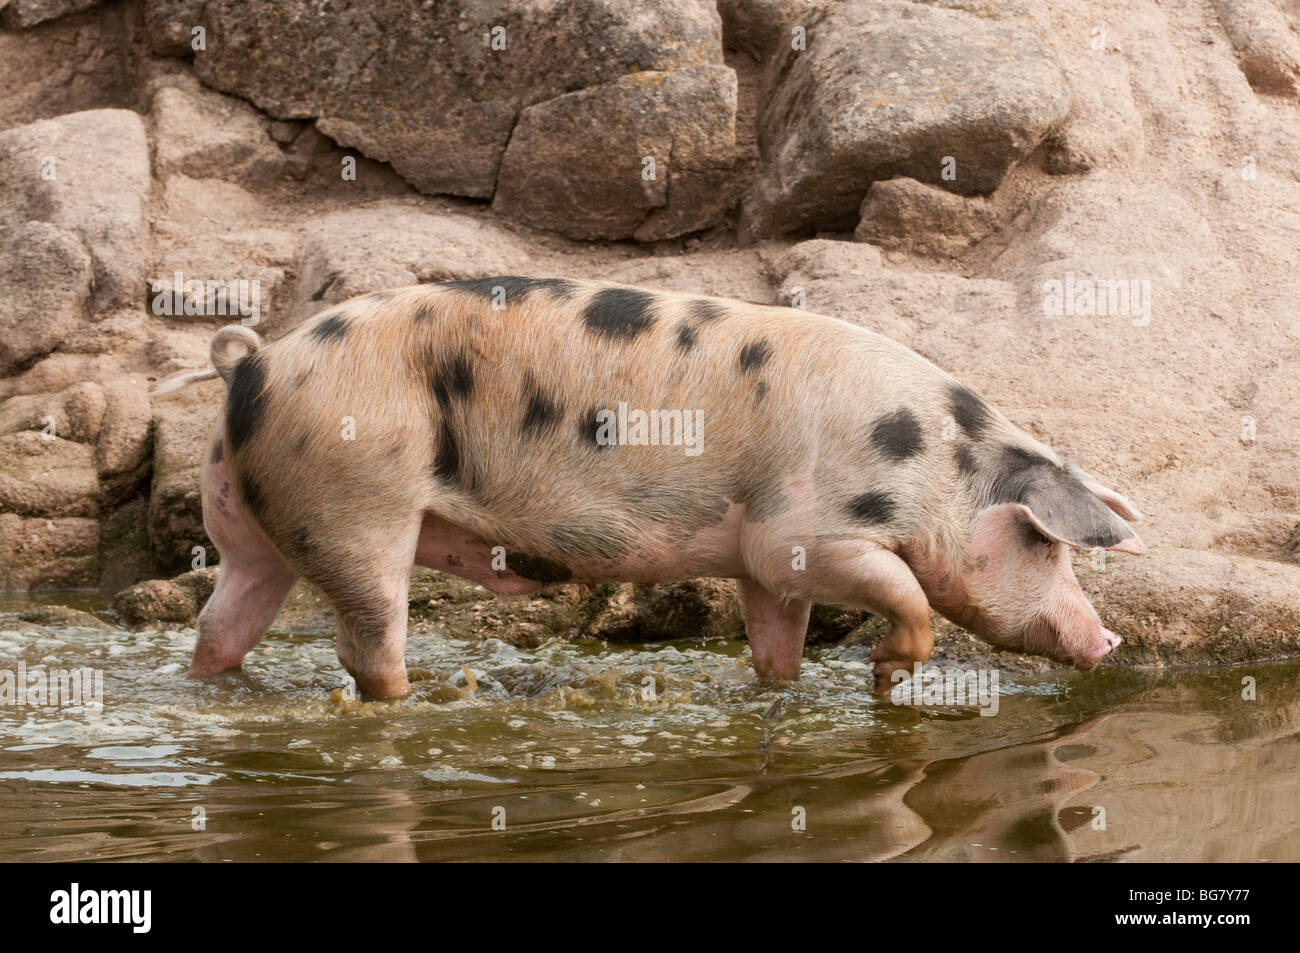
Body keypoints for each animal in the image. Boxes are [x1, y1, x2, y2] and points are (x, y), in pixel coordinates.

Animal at [153, 277, 1144, 698]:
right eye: (1045, 544)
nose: (1111, 639)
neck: (936, 465)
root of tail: (256, 366)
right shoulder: (804, 529)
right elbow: (903, 590)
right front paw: (887, 672)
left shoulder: (764, 563)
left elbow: (776, 641)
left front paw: (783, 691)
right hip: (359, 503)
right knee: (367, 644)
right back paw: (420, 701)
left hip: (247, 522)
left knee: (222, 622)